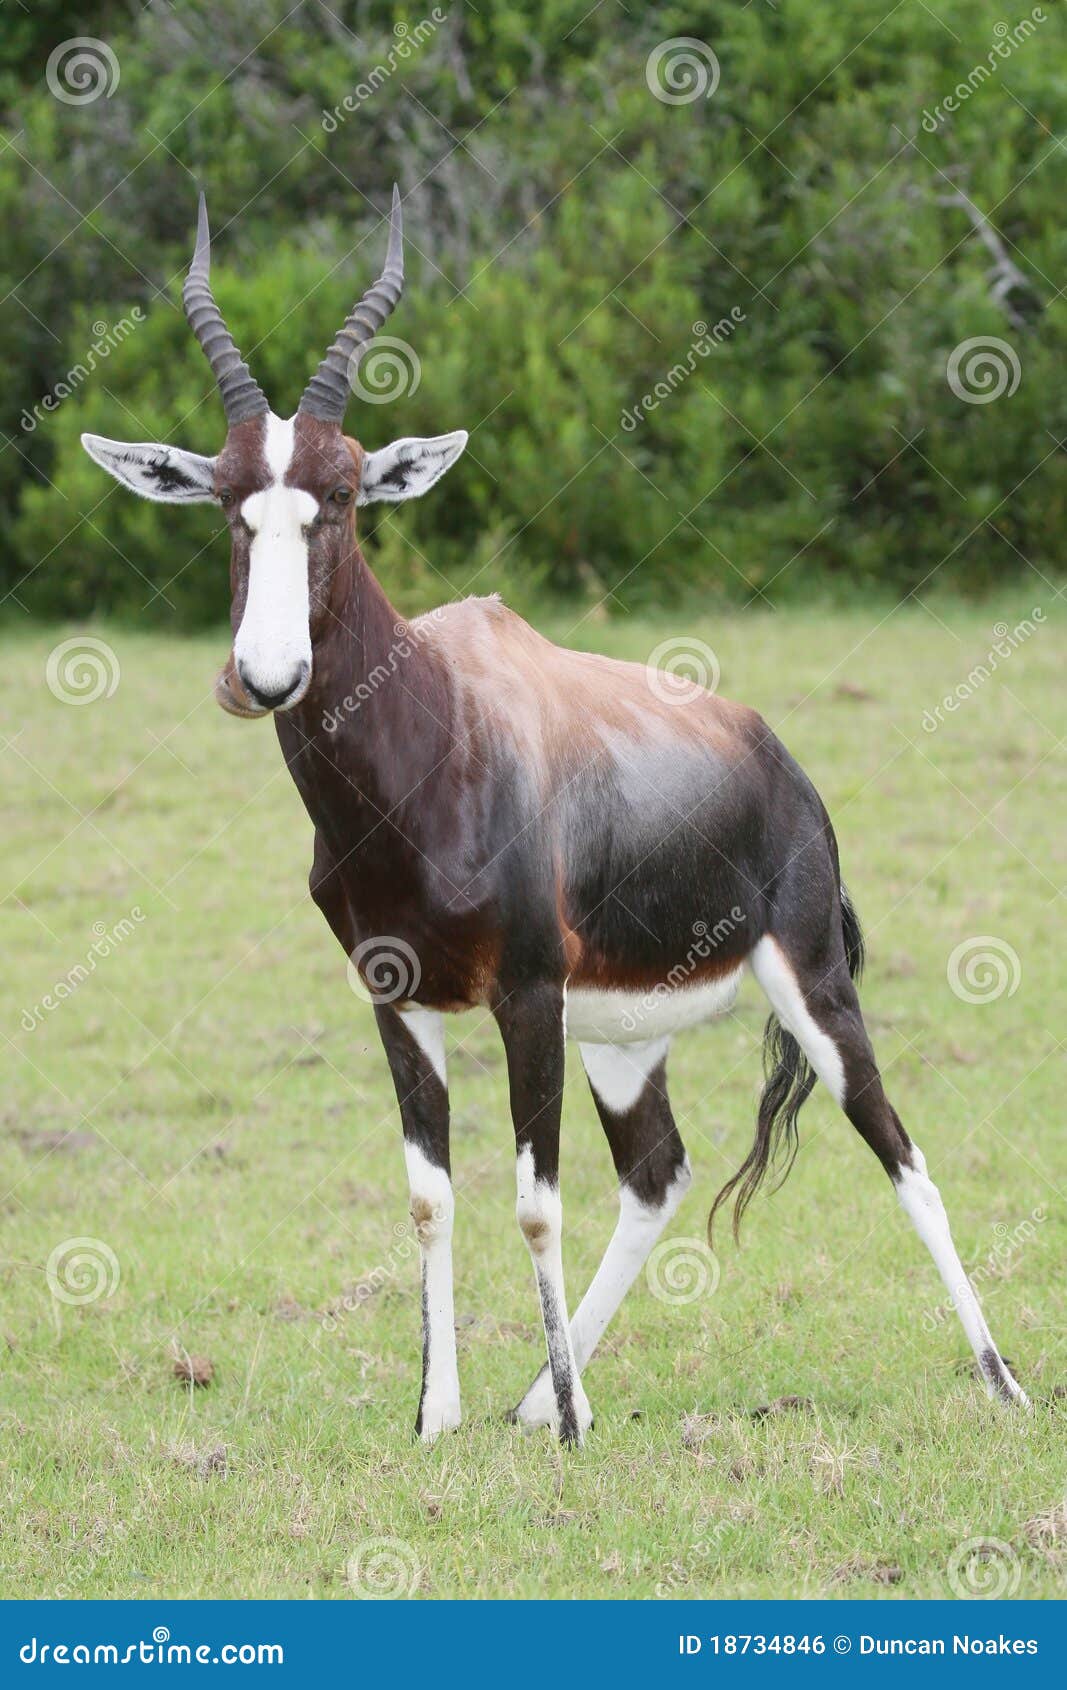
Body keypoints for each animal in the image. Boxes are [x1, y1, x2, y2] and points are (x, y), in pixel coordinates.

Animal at [81, 188, 1027, 1444]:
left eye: (342, 497)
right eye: (231, 505)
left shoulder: (525, 996)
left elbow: (533, 1202)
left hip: (810, 984)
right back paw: (540, 1394)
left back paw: (997, 1377)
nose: (264, 675)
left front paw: (571, 1428)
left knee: (899, 1152)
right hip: (624, 1038)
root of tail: (775, 757)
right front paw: (438, 1415)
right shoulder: (397, 1000)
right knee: (657, 1170)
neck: (432, 737)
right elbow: (430, 1196)